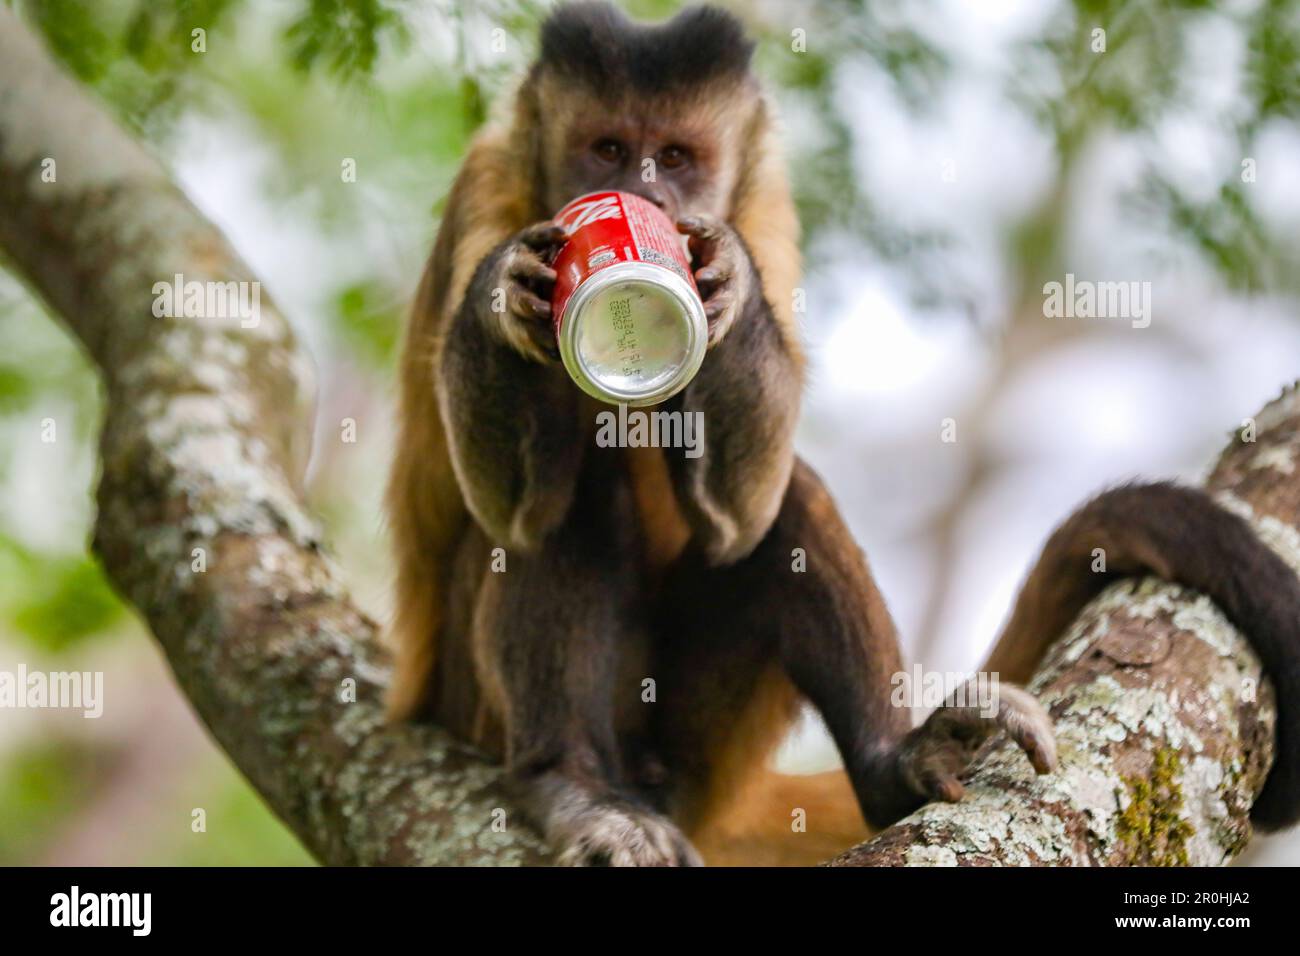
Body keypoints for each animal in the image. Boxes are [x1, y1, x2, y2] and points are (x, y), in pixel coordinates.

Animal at [385, 2, 1300, 866]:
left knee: (785, 503)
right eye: (608, 149)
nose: (651, 199)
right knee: (567, 508)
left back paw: (896, 765)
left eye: (675, 159)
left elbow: (744, 514)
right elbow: (520, 510)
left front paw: (728, 279)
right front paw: (508, 290)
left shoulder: (765, 201)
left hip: (708, 753)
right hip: (477, 710)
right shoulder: (487, 178)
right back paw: (573, 784)